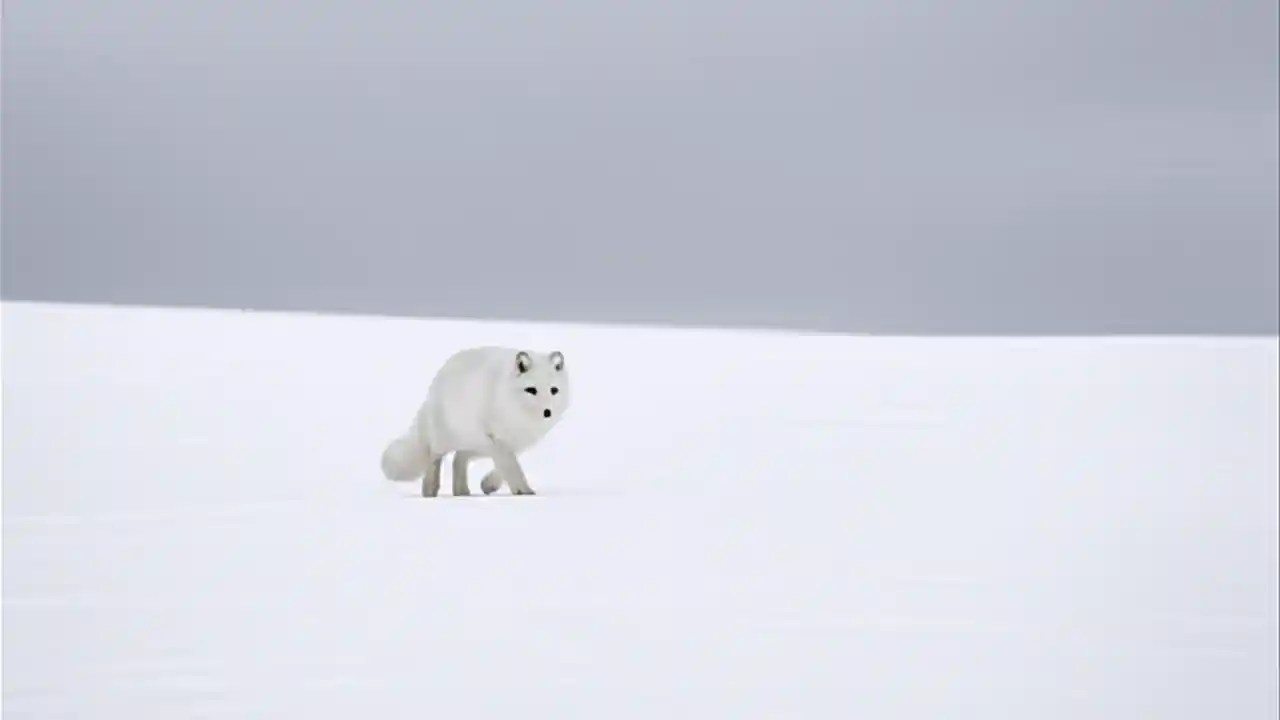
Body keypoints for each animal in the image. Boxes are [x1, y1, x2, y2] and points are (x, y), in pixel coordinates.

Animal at [381, 347, 571, 497]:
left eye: (554, 390)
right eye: (531, 390)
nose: (547, 412)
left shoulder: (518, 442)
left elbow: (504, 467)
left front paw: (489, 485)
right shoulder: (496, 439)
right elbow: (511, 466)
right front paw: (523, 490)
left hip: (475, 445)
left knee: (458, 459)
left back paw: (461, 492)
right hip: (446, 439)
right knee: (434, 457)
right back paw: (430, 490)